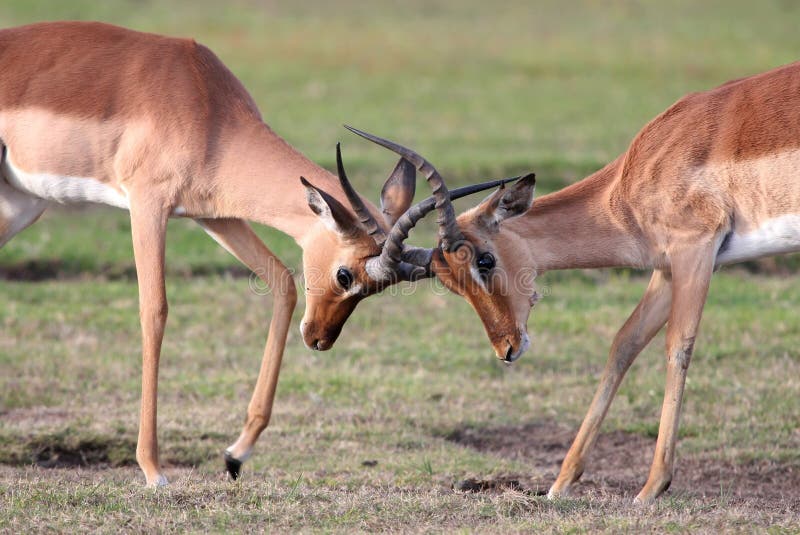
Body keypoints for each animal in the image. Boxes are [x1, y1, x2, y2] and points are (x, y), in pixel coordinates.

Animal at [0, 21, 508, 486]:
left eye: (378, 288)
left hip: (23, 204)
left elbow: (282, 282)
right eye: (345, 275)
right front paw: (153, 470)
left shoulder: (215, 215)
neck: (204, 105)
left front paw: (235, 455)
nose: (319, 339)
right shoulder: (148, 205)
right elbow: (155, 309)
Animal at [340, 61, 800, 502]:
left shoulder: (696, 250)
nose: (507, 349)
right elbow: (624, 343)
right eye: (451, 284)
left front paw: (651, 488)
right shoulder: (670, 267)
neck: (633, 180)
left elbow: (677, 347)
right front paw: (560, 484)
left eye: (485, 260)